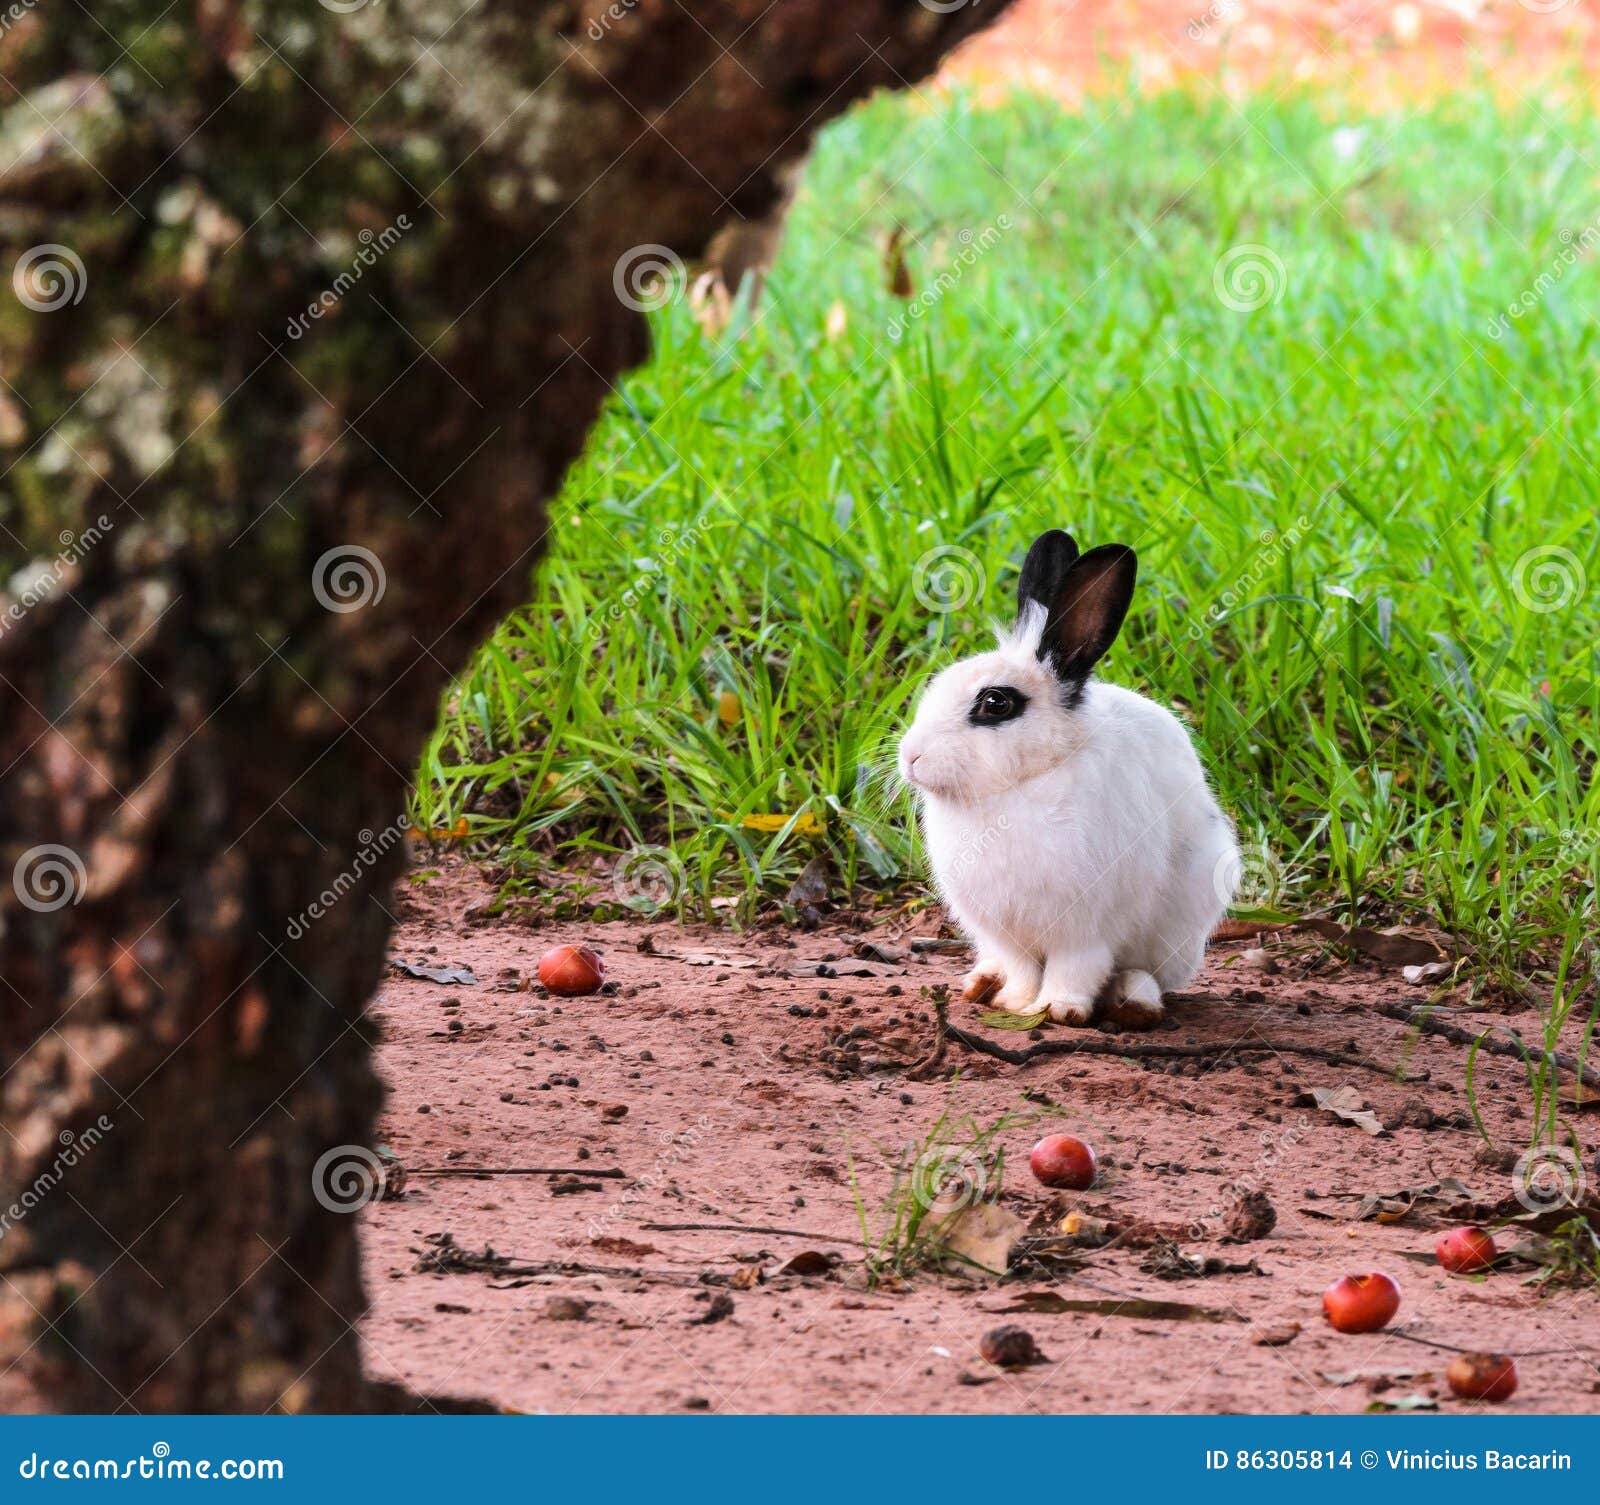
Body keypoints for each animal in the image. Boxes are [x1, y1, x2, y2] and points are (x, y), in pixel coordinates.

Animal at [897, 528, 1238, 1028]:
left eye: (996, 703)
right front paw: (1014, 1002)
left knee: (1147, 972)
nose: (910, 756)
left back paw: (1134, 1003)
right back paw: (982, 983)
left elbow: (1076, 968)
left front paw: (1058, 1009)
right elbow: (1021, 967)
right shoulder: (1005, 931)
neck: (1021, 786)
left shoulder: (1086, 929)